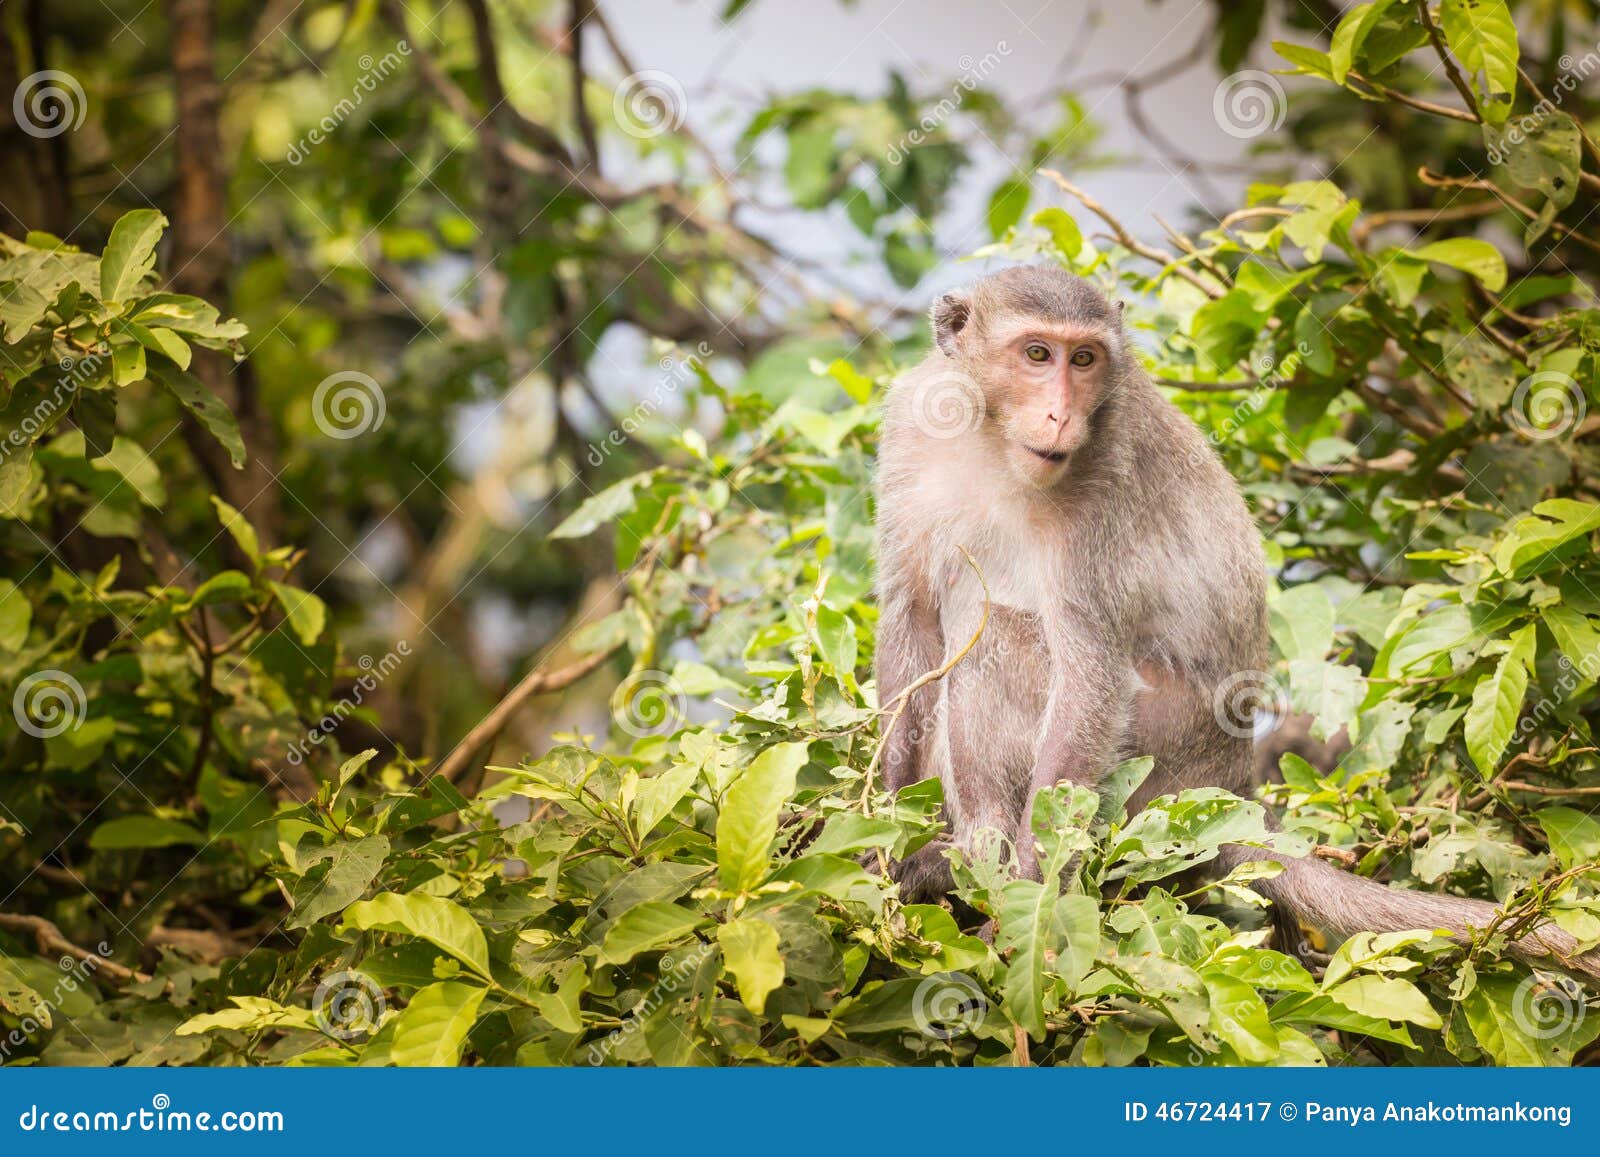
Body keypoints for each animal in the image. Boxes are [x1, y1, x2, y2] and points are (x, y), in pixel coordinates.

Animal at [873, 263, 1600, 981]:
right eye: (1035, 354)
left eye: (1083, 359)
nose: (1061, 412)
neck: (993, 443)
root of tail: (1228, 784)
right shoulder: (913, 428)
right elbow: (911, 616)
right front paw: (883, 833)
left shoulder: (1103, 483)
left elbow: (1088, 672)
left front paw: (1030, 903)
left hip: (1158, 767)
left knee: (995, 634)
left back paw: (980, 858)